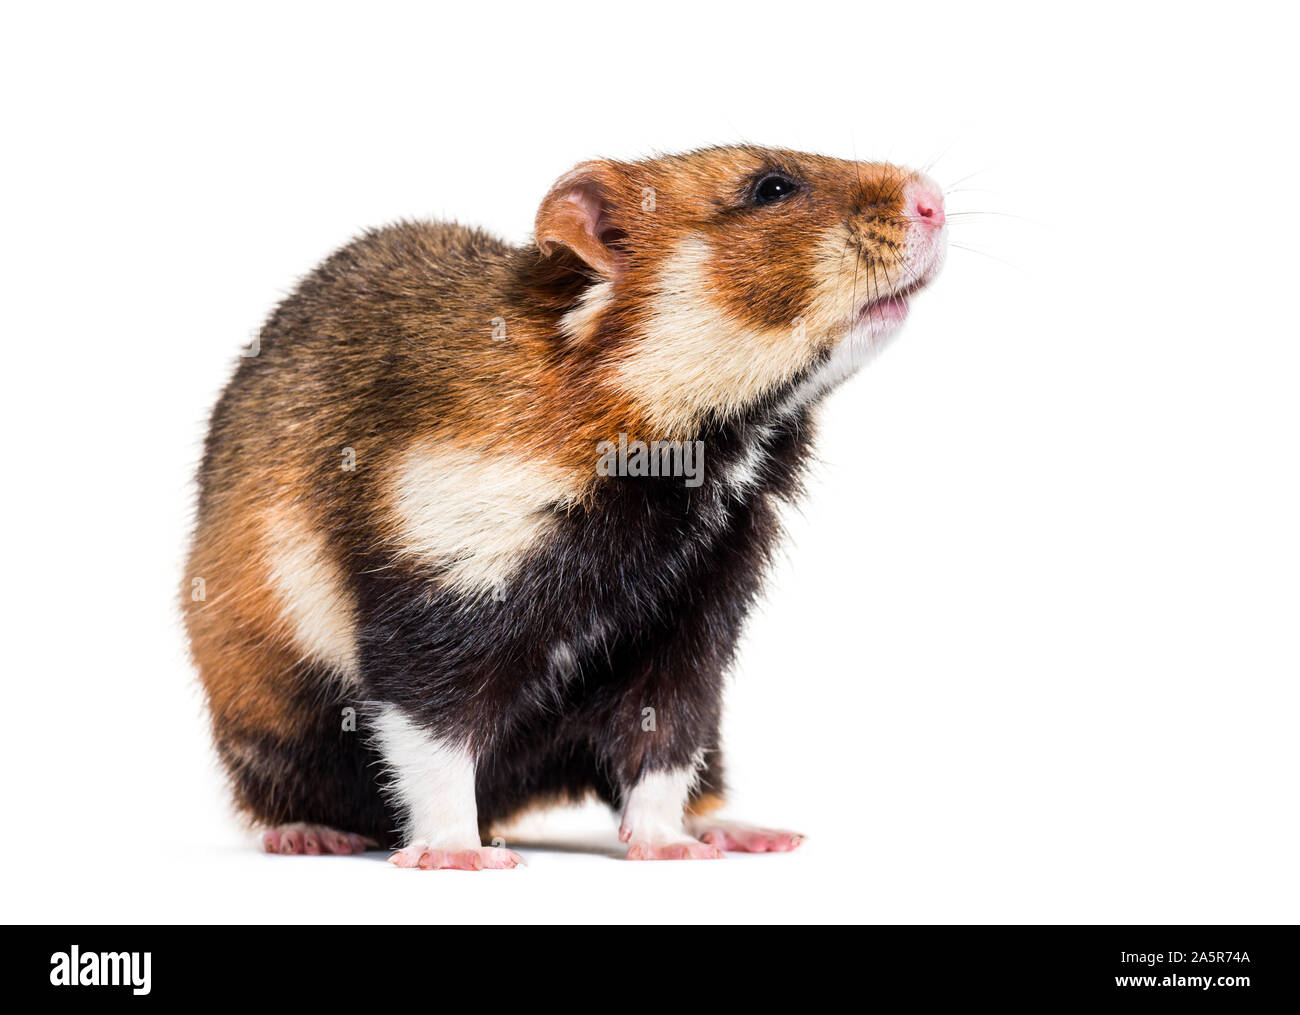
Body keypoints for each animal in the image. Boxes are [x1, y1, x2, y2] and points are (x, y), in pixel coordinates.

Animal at [183, 145, 946, 868]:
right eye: (772, 187)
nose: (933, 199)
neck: (707, 455)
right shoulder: (440, 588)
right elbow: (434, 741)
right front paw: (459, 854)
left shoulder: (697, 621)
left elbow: (664, 744)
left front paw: (668, 847)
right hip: (266, 711)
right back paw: (313, 835)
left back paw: (743, 832)